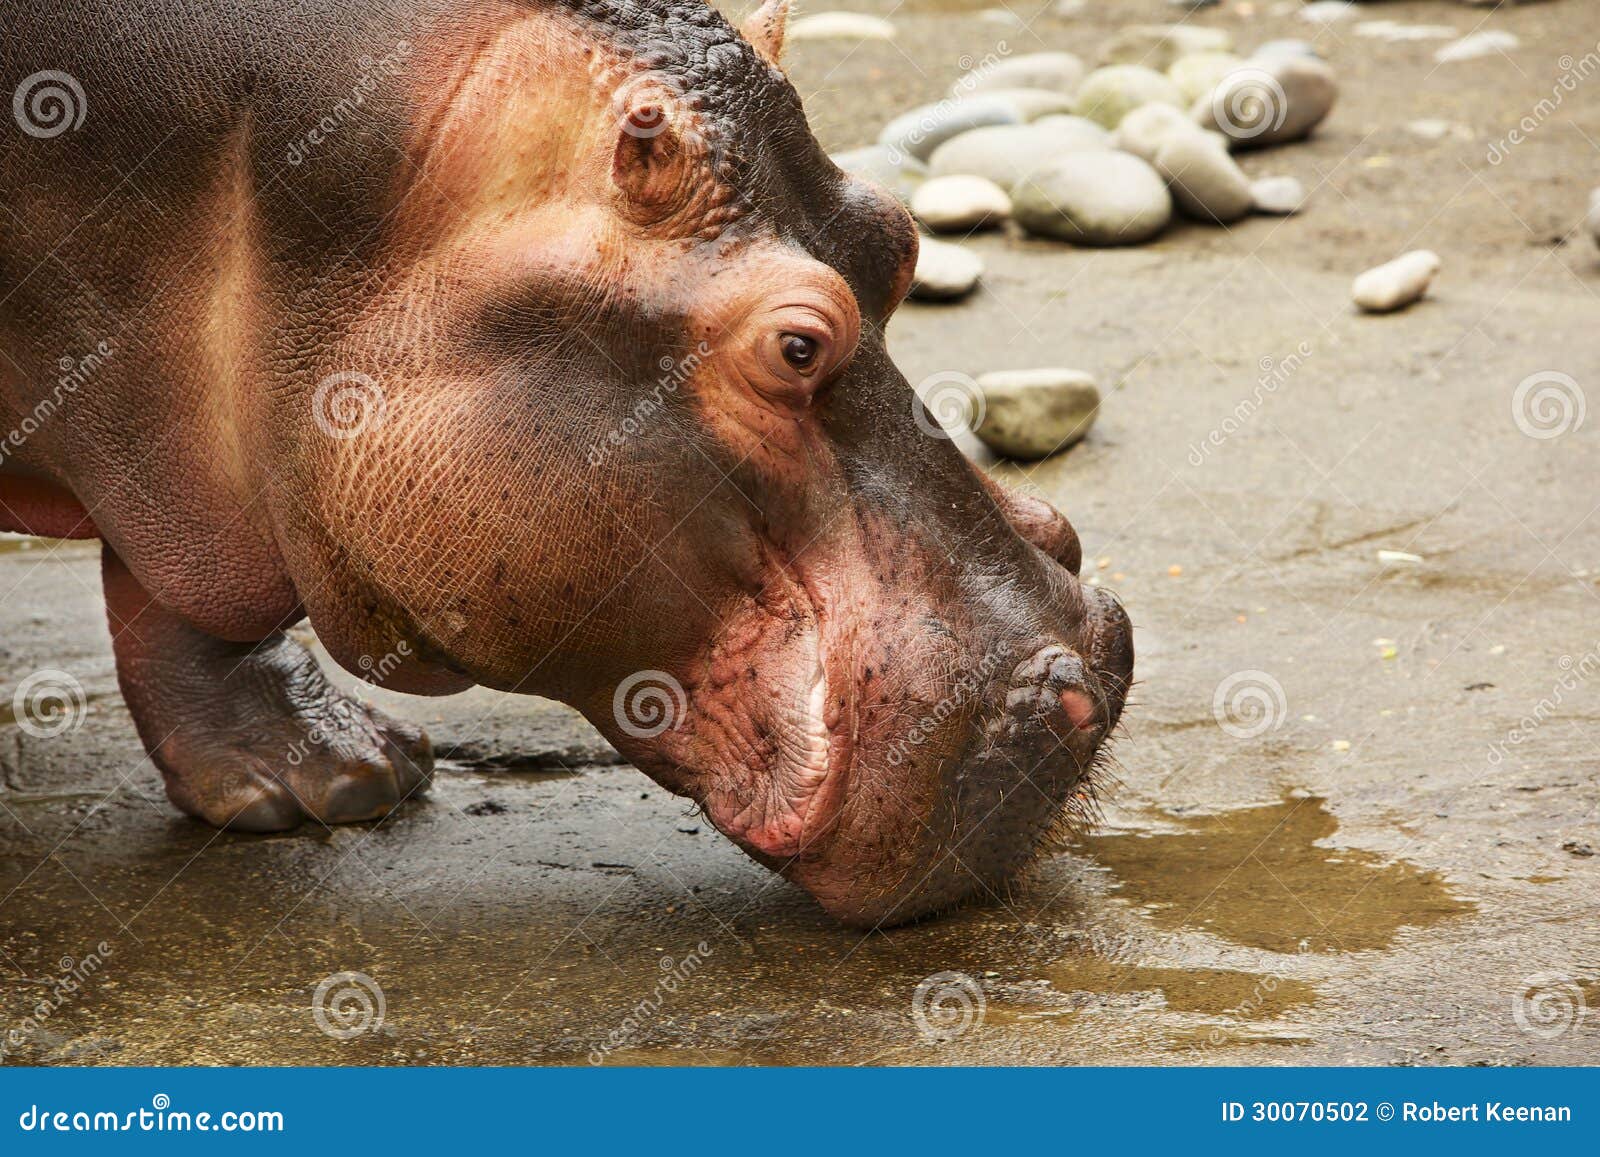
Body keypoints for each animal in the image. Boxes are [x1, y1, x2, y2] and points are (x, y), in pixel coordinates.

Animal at [0, 0, 1132, 926]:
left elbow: (175, 591)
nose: (1091, 671)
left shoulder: (178, 446)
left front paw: (339, 780)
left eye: (897, 237)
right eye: (797, 346)